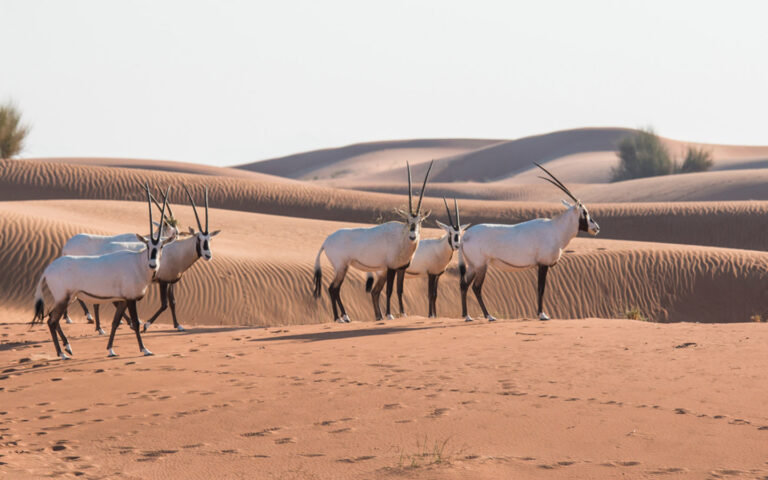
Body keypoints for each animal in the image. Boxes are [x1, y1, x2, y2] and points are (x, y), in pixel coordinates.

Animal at [31, 185, 176, 359]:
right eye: (148, 246)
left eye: (161, 246)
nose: (153, 264)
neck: (138, 262)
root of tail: (47, 270)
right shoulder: (131, 299)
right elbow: (135, 323)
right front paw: (145, 349)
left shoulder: (122, 300)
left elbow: (115, 322)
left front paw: (111, 350)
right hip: (64, 299)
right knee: (52, 321)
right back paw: (62, 353)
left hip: (68, 298)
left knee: (52, 319)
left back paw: (68, 348)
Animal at [313, 161, 433, 322]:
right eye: (407, 220)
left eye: (420, 221)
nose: (413, 236)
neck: (401, 237)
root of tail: (325, 242)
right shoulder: (390, 268)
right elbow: (389, 291)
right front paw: (389, 315)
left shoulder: (401, 268)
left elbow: (399, 291)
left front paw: (403, 314)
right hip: (341, 267)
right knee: (333, 288)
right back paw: (341, 318)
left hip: (343, 268)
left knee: (336, 289)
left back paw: (345, 317)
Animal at [458, 163, 600, 322]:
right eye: (585, 212)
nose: (596, 228)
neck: (555, 228)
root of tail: (464, 237)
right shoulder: (543, 264)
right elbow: (541, 288)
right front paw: (542, 315)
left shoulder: (541, 265)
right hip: (481, 266)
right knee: (476, 287)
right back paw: (489, 316)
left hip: (473, 266)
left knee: (464, 285)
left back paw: (467, 316)